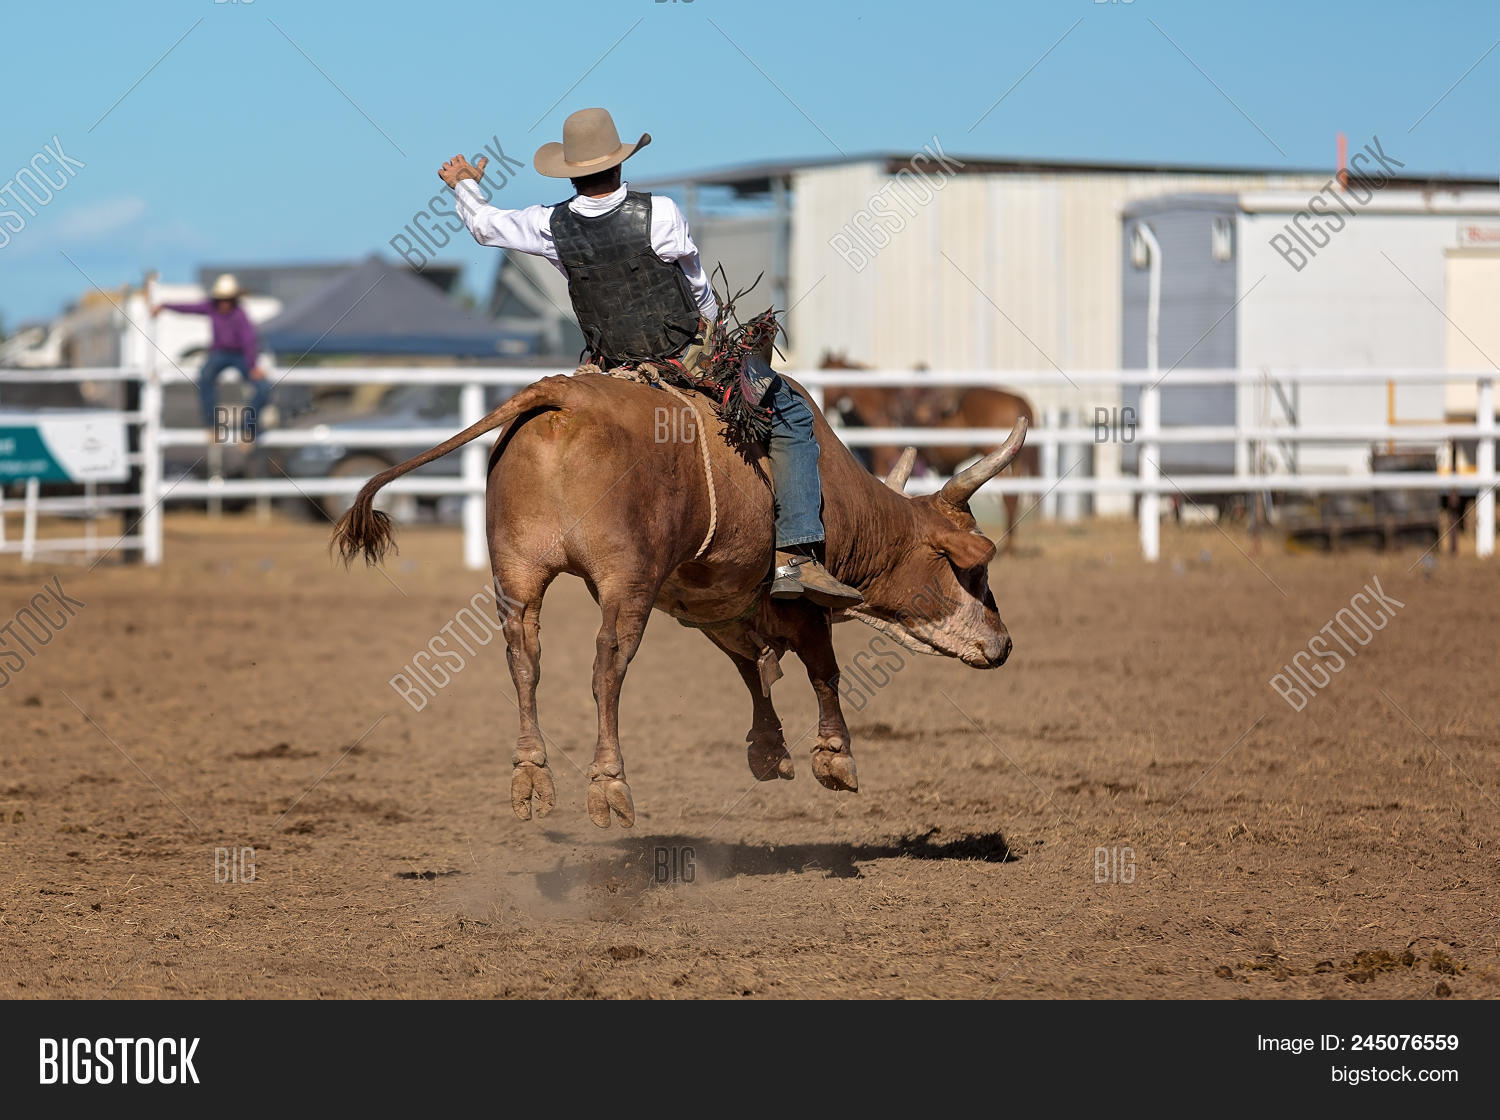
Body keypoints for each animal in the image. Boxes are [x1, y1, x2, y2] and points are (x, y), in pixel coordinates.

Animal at [332, 370, 1026, 828]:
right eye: (974, 573)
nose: (1003, 643)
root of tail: (561, 395)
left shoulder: (721, 603)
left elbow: (752, 668)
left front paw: (768, 749)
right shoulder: (798, 601)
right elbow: (822, 668)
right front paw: (834, 758)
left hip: (518, 571)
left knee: (524, 660)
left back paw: (531, 777)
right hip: (626, 580)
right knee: (607, 666)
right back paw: (609, 787)